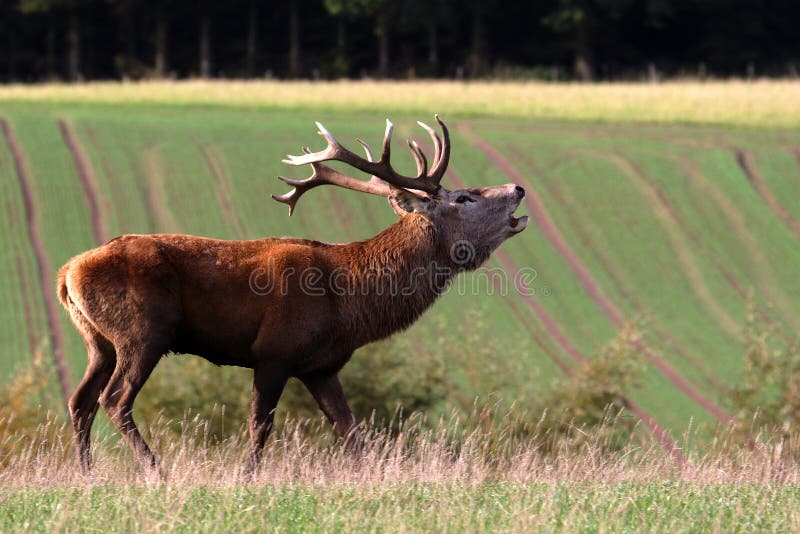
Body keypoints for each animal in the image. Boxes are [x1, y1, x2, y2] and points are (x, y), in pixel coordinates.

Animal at [56, 115, 528, 476]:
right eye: (464, 197)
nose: (518, 188)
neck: (349, 301)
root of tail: (67, 273)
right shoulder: (274, 351)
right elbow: (260, 426)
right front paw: (246, 478)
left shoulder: (322, 366)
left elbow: (351, 431)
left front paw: (368, 478)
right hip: (142, 331)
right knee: (114, 399)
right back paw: (156, 470)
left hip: (99, 341)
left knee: (81, 401)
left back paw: (87, 473)